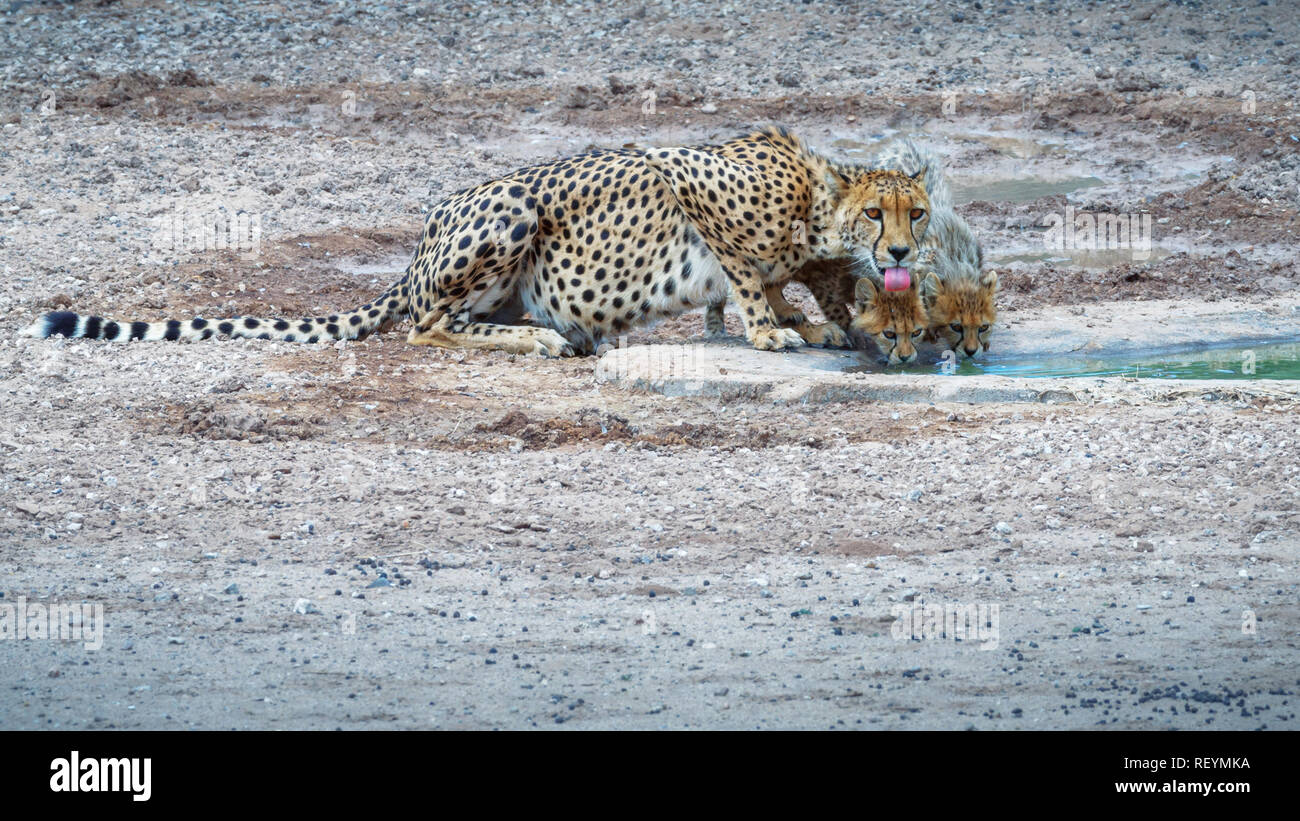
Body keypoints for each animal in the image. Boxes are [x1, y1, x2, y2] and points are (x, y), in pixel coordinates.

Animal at [23, 127, 930, 358]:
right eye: (880, 214)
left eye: (916, 214)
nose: (899, 254)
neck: (817, 196)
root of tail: (423, 233)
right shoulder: (682, 175)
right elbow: (744, 272)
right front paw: (773, 328)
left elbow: (775, 278)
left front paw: (806, 319)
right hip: (516, 211)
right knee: (430, 328)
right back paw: (543, 340)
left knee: (455, 322)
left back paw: (544, 333)